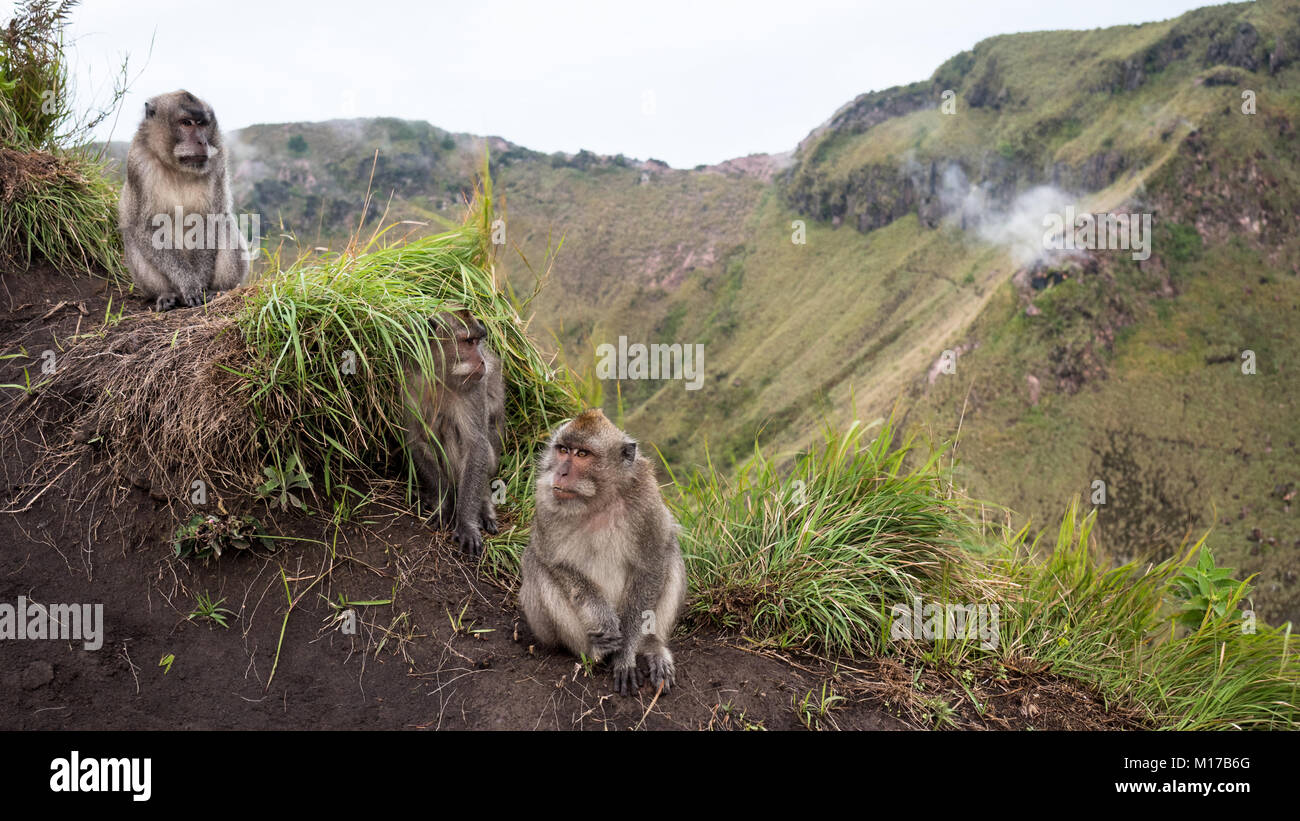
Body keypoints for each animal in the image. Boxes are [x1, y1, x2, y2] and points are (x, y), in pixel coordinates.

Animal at [118, 90, 248, 311]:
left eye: (202, 124)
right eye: (186, 123)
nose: (202, 142)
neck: (176, 167)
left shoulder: (217, 159)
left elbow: (209, 219)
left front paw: (199, 284)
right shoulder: (137, 164)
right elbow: (145, 226)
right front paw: (188, 283)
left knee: (225, 223)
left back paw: (219, 290)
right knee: (132, 236)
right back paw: (165, 295)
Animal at [403, 309, 505, 557]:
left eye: (478, 341)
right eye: (468, 342)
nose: (482, 361)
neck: (440, 376)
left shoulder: (474, 388)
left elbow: (476, 445)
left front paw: (466, 523)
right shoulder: (411, 383)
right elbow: (417, 439)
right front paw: (443, 503)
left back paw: (483, 503)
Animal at [519, 409, 687, 696]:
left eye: (582, 454)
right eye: (563, 450)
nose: (561, 472)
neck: (599, 499)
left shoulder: (647, 501)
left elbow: (652, 562)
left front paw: (626, 654)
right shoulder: (544, 499)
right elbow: (552, 561)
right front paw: (605, 620)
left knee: (669, 548)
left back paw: (652, 647)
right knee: (535, 563)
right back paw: (595, 650)